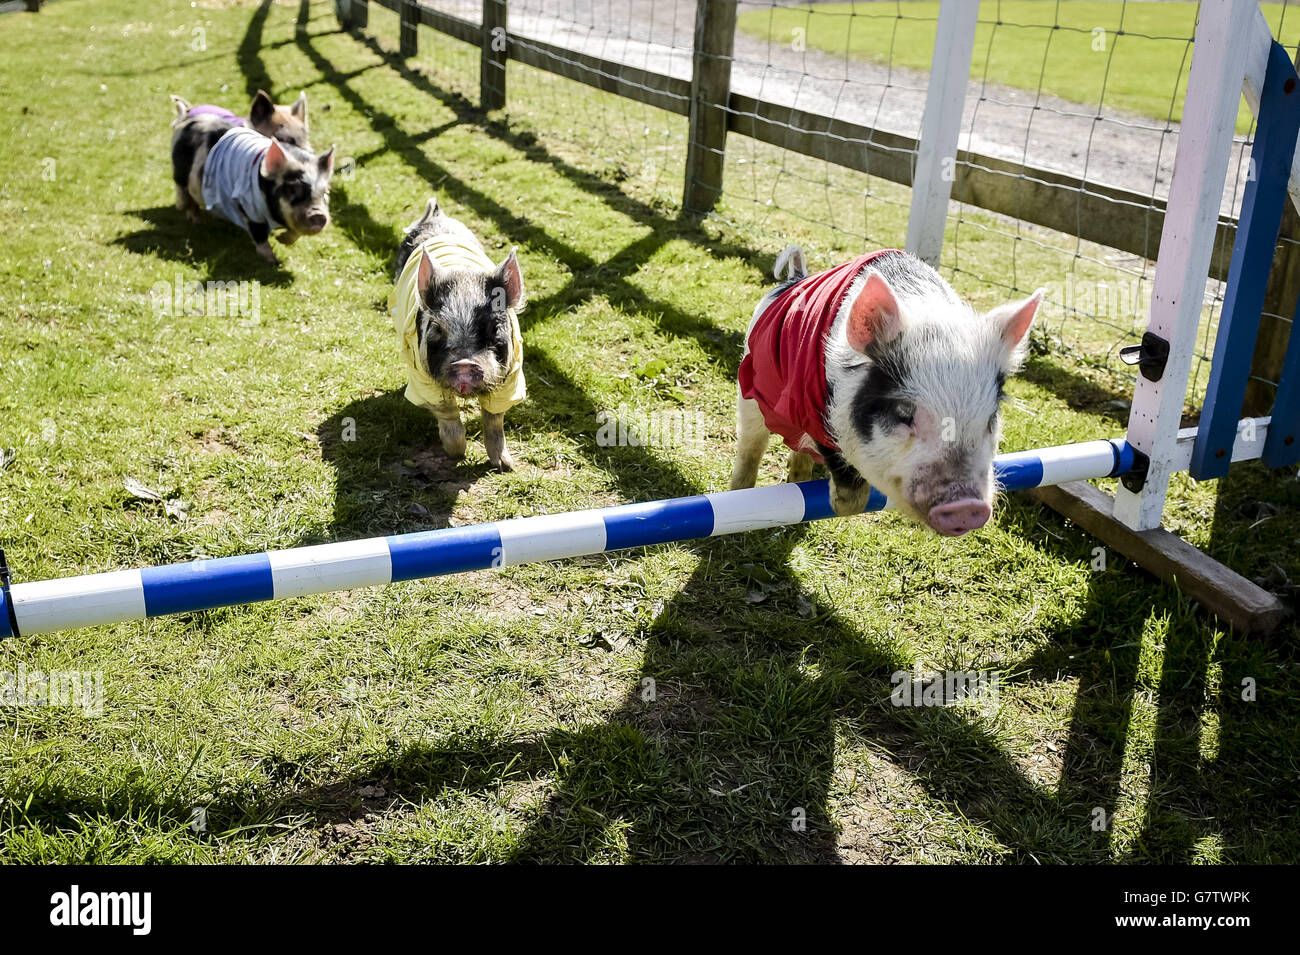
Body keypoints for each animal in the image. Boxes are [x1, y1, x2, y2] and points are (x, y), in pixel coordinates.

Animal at [171, 113, 334, 264]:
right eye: (293, 190)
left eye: (325, 193)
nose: (319, 215)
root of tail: (188, 118)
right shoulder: (247, 205)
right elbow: (258, 231)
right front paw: (273, 261)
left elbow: (296, 233)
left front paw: (281, 240)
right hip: (181, 172)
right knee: (184, 192)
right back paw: (194, 218)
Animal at [390, 197, 527, 471]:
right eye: (438, 328)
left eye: (494, 327)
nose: (464, 363)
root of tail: (435, 215)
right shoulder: (423, 380)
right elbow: (449, 417)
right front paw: (457, 455)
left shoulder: (511, 377)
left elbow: (494, 420)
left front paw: (505, 466)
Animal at [728, 246, 1042, 537]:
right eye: (904, 413)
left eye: (991, 420)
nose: (966, 507)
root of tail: (796, 277)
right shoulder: (816, 407)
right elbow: (844, 474)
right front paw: (838, 504)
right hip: (750, 387)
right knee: (751, 444)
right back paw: (738, 495)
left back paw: (799, 481)